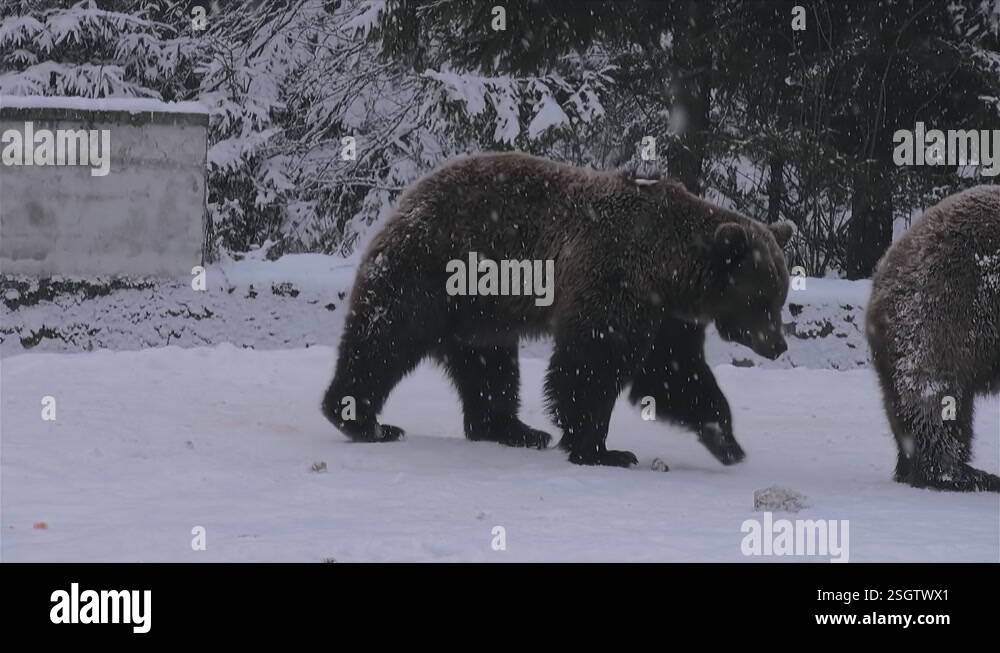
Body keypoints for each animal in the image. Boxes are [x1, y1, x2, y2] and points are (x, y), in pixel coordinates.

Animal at [322, 152, 793, 467]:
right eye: (762, 299)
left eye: (781, 296)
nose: (778, 345)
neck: (670, 270)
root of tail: (409, 195)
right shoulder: (614, 279)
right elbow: (592, 365)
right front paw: (602, 448)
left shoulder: (665, 315)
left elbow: (675, 373)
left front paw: (727, 440)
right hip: (434, 269)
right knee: (388, 336)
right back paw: (362, 420)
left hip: (480, 309)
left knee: (487, 364)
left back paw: (514, 429)